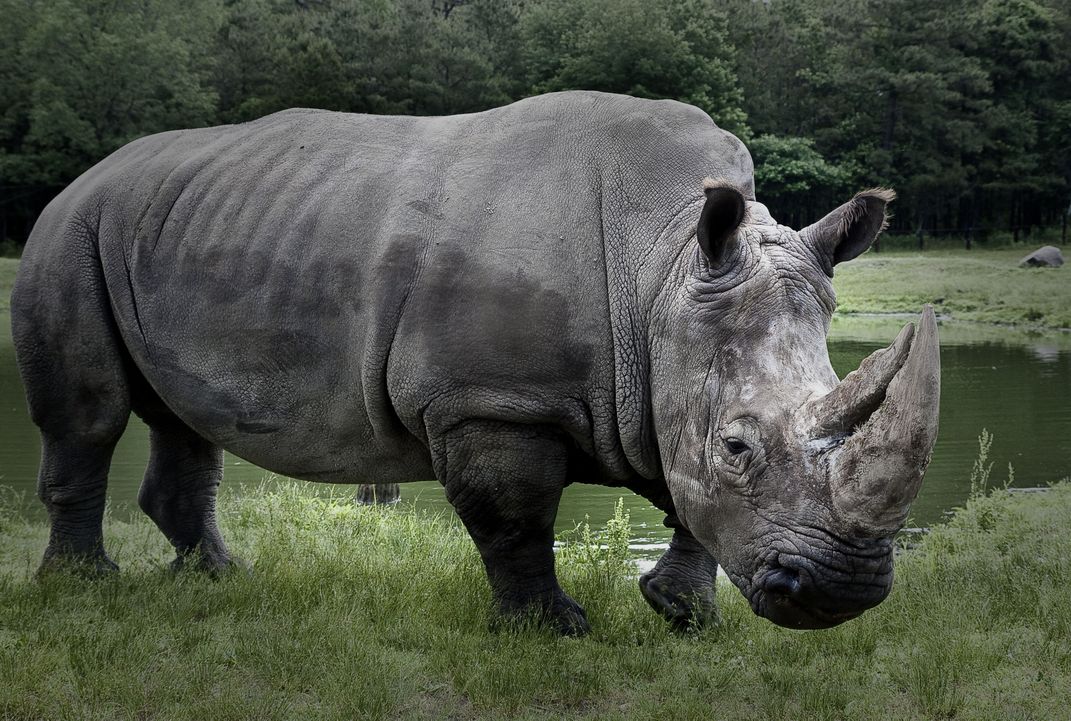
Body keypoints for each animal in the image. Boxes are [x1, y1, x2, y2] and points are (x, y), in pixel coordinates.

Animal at [12, 91, 939, 634]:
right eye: (738, 446)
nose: (844, 591)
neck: (663, 271)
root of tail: (90, 174)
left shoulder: (676, 367)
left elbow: (689, 498)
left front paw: (682, 616)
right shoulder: (489, 398)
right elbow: (515, 517)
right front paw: (551, 631)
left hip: (166, 225)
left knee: (179, 417)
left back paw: (215, 579)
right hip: (71, 230)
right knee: (89, 414)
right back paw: (86, 587)